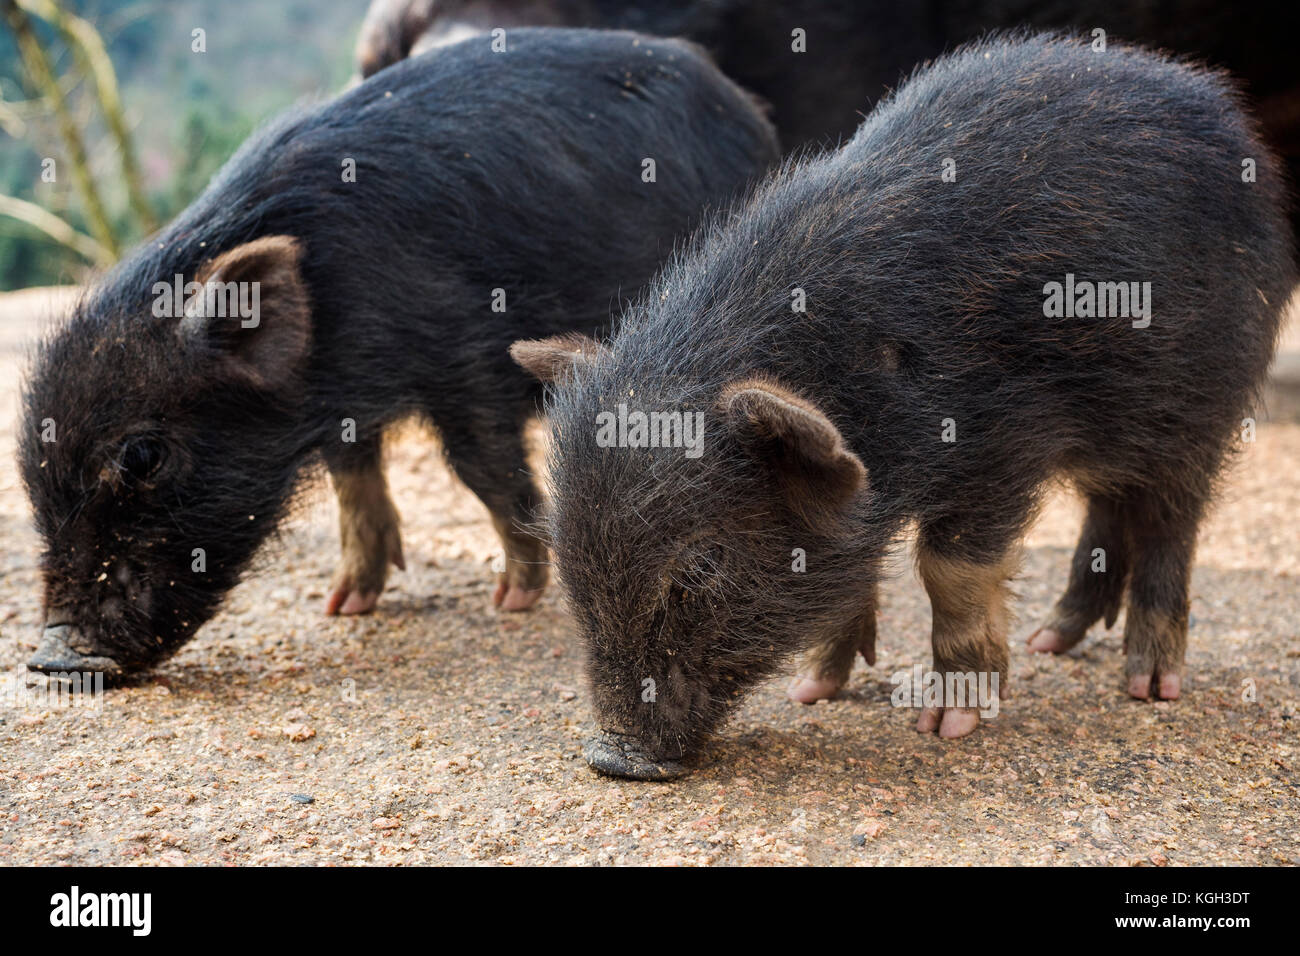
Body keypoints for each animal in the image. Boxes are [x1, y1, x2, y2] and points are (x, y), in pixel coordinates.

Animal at [19, 27, 778, 677]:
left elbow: (480, 465)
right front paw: (342, 607)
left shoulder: (467, 351)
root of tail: (749, 115)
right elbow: (353, 475)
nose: (52, 659)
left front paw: (514, 599)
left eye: (142, 456)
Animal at [513, 33, 1297, 779]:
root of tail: (1221, 110)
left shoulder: (1005, 440)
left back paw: (1149, 687)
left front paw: (946, 724)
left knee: (1171, 520)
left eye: (703, 566)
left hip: (1205, 396)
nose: (612, 759)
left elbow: (949, 570)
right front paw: (811, 691)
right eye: (567, 547)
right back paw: (1051, 641)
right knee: (1110, 505)